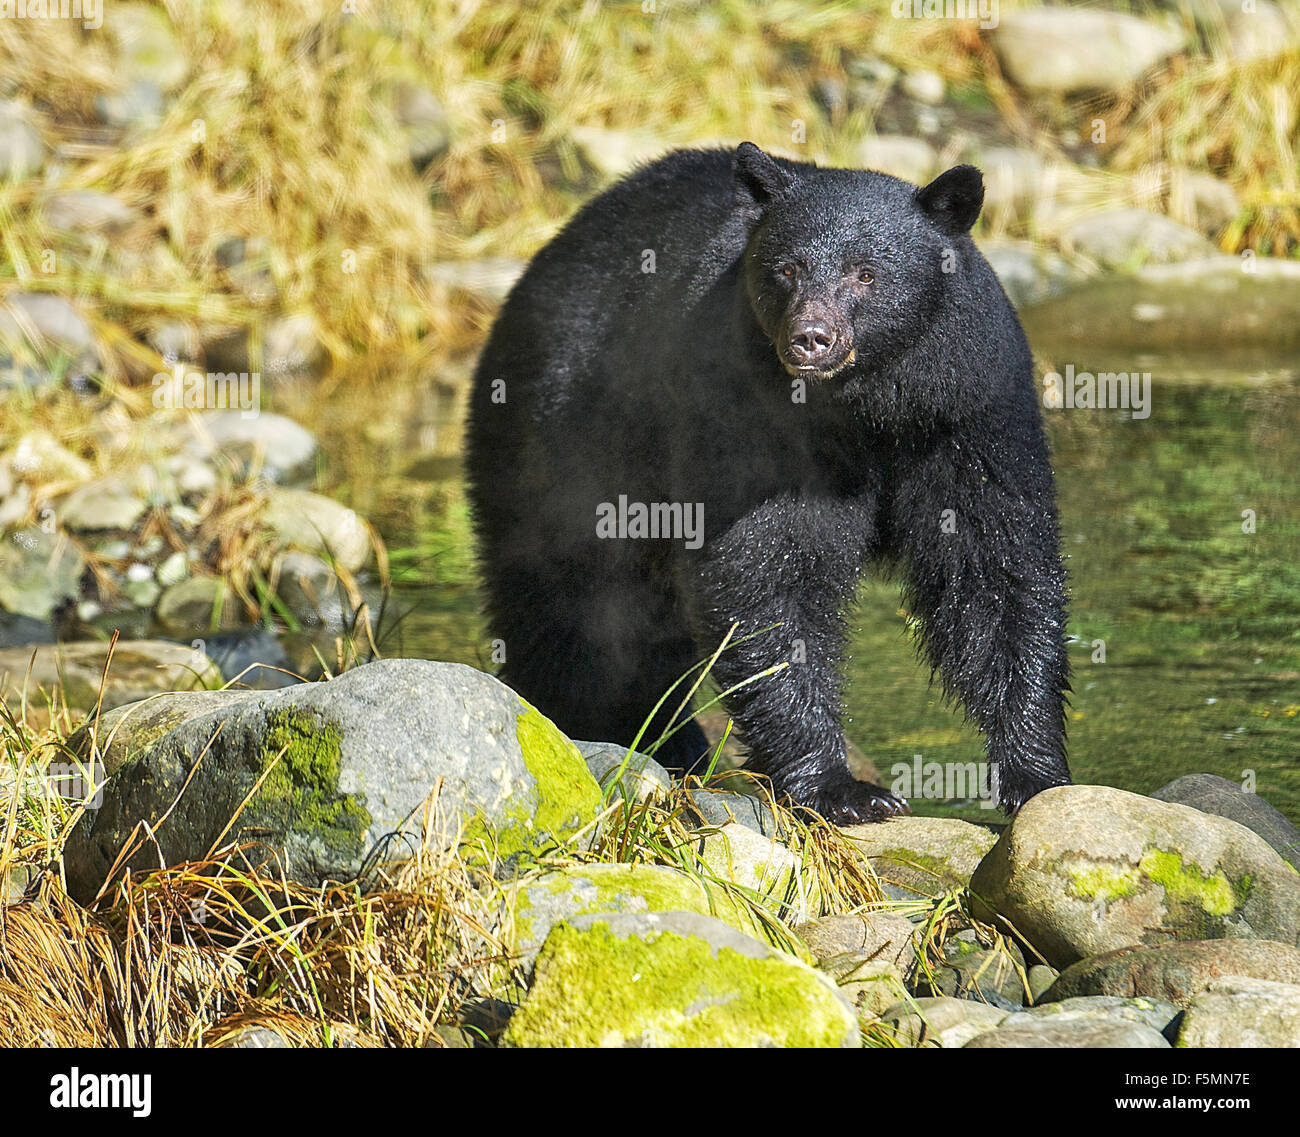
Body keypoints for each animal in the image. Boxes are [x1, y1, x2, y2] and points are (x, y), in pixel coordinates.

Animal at [465, 142, 1071, 824]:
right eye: (786, 268)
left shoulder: (966, 413)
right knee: (576, 603)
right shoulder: (752, 420)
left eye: (866, 273)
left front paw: (1035, 772)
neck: (868, 409)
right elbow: (768, 572)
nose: (810, 338)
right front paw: (843, 789)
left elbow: (994, 563)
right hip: (563, 440)